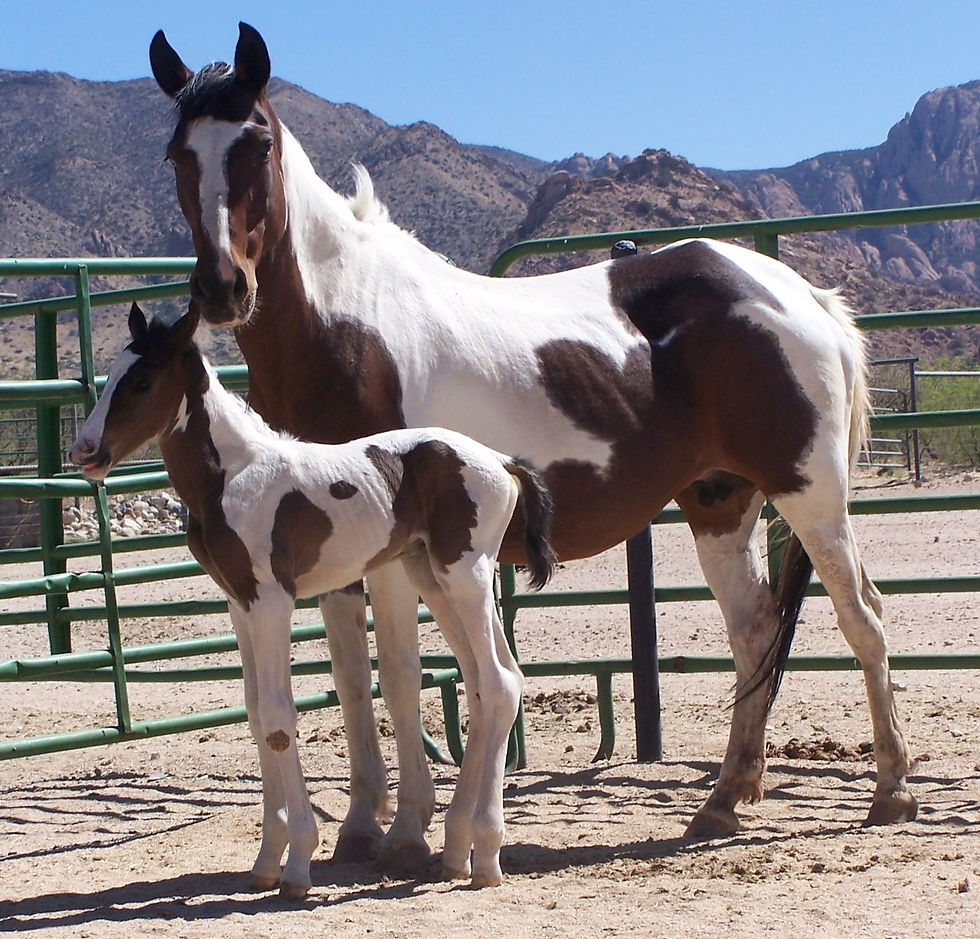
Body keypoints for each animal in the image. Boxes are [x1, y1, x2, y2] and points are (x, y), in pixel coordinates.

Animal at [70, 302, 556, 896]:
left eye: (141, 381)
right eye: (112, 375)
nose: (84, 451)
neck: (234, 476)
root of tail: (502, 462)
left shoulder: (271, 601)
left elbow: (279, 717)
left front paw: (298, 862)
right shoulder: (238, 603)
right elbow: (257, 713)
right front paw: (264, 860)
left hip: (467, 576)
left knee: (500, 682)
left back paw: (485, 856)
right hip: (433, 577)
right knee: (489, 684)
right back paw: (457, 852)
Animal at [147, 21, 918, 871]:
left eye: (255, 143)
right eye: (179, 155)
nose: (222, 288)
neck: (348, 324)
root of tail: (799, 293)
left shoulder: (385, 547)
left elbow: (401, 677)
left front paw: (407, 828)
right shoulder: (328, 549)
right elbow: (353, 680)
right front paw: (359, 825)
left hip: (811, 495)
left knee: (864, 616)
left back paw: (891, 791)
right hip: (721, 501)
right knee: (752, 635)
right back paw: (722, 801)